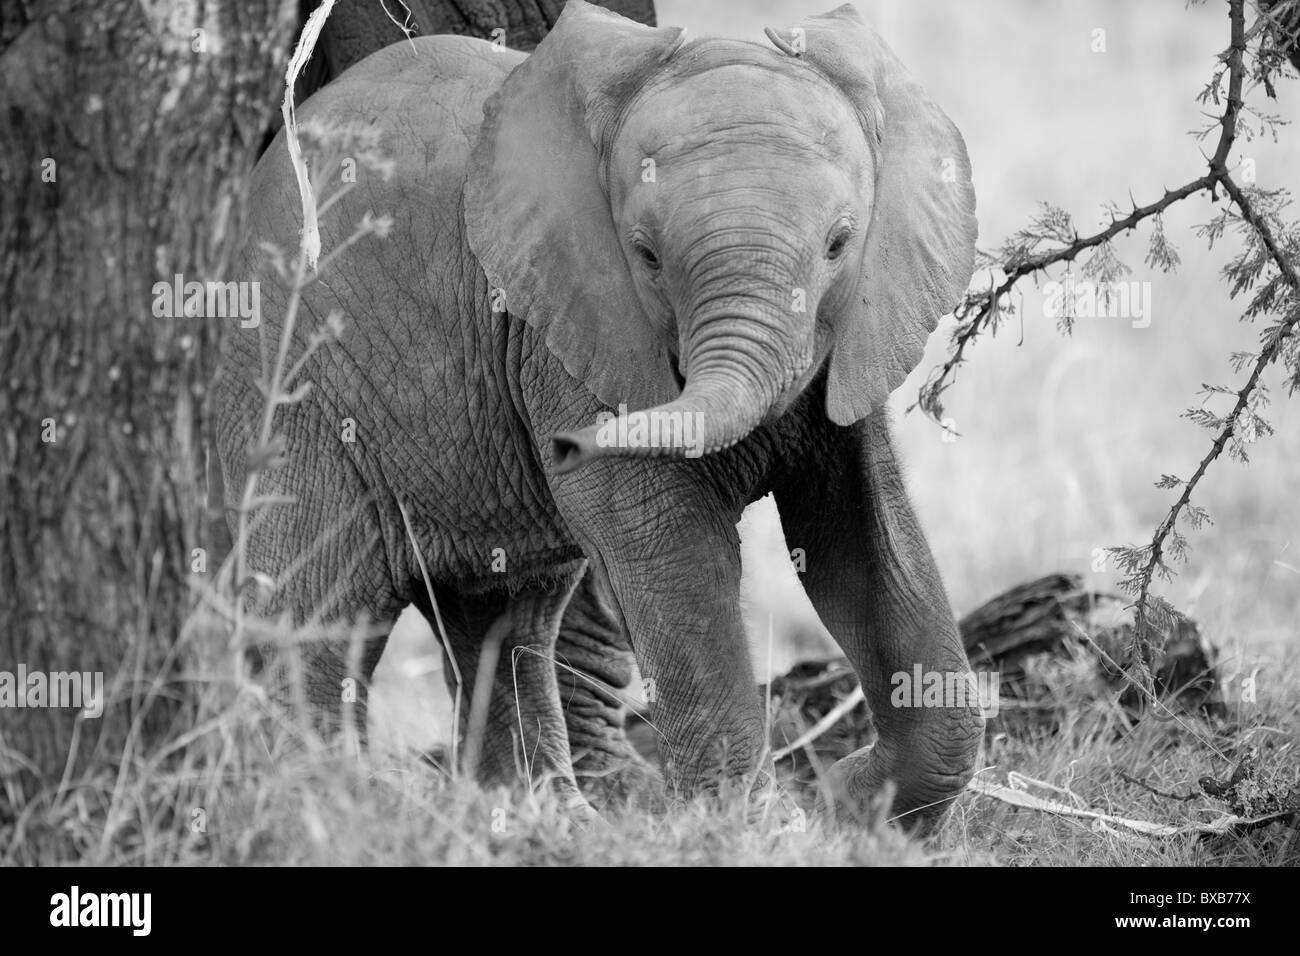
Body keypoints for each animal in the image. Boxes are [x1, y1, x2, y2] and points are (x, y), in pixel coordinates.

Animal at [215, 0, 983, 828]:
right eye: (644, 255)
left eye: (840, 244)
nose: (564, 446)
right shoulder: (572, 328)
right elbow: (668, 543)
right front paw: (760, 830)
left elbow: (869, 542)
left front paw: (854, 804)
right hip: (282, 380)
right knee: (313, 613)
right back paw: (325, 810)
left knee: (502, 615)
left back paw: (540, 816)